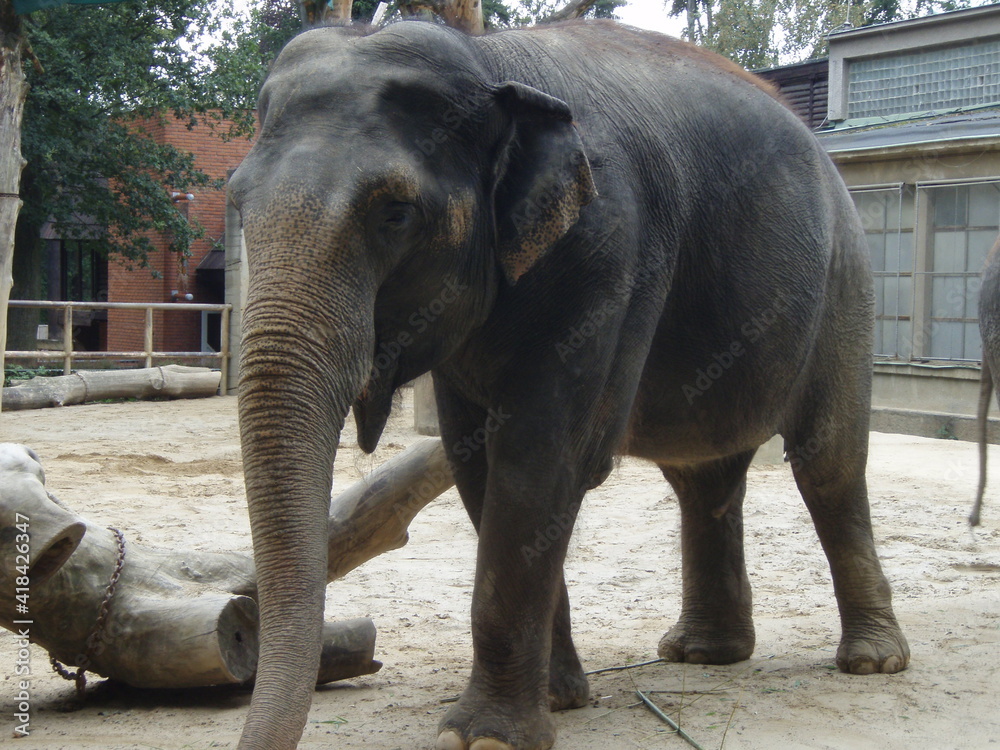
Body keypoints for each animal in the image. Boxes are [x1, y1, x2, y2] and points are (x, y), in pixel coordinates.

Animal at [228, 19, 910, 750]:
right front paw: (558, 701)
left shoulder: (605, 252)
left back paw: (871, 661)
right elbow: (479, 465)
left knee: (828, 461)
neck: (487, 63)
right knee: (704, 478)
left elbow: (543, 458)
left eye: (396, 213)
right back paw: (703, 653)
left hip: (847, 283)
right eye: (236, 200)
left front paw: (486, 737)